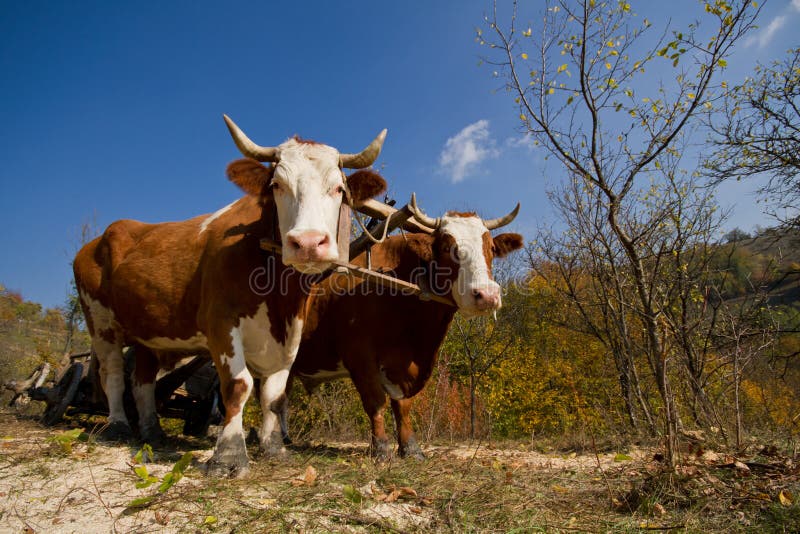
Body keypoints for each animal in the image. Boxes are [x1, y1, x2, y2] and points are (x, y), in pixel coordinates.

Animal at [73, 115, 388, 477]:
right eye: (276, 185)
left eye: (338, 188)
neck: (279, 294)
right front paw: (229, 456)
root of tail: (99, 238)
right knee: (112, 373)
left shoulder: (290, 332)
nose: (308, 242)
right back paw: (118, 425)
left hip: (148, 332)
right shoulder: (220, 323)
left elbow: (274, 395)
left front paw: (274, 448)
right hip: (100, 321)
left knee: (143, 382)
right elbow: (239, 386)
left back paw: (152, 431)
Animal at [277, 194, 524, 458]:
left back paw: (284, 439)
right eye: (447, 248)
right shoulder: (359, 354)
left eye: (492, 249)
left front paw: (410, 447)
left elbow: (403, 405)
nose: (487, 295)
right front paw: (381, 447)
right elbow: (375, 400)